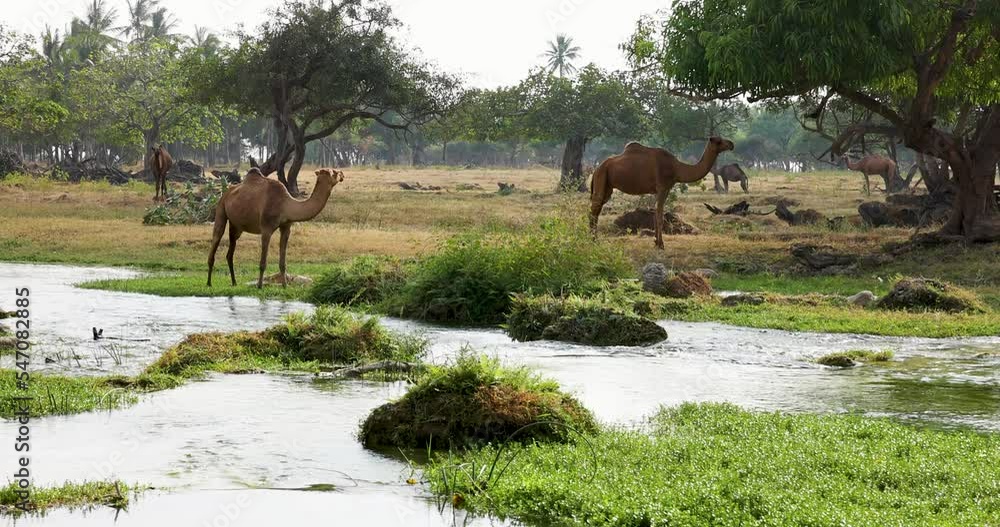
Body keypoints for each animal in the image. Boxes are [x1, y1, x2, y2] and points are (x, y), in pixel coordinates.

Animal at [207, 168, 344, 289]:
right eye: (333, 172)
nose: (342, 174)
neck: (286, 205)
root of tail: (227, 192)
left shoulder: (286, 227)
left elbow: (283, 262)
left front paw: (284, 286)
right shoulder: (266, 229)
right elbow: (263, 262)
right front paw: (259, 286)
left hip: (236, 226)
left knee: (230, 252)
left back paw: (234, 282)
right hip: (220, 209)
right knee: (216, 238)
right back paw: (209, 283)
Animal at [590, 137, 735, 249]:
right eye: (719, 141)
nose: (731, 144)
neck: (677, 168)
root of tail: (597, 168)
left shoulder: (660, 189)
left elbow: (656, 213)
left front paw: (656, 241)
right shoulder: (663, 187)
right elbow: (660, 215)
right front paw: (661, 244)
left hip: (607, 185)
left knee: (597, 209)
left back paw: (594, 238)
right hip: (602, 176)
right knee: (594, 208)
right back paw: (593, 240)